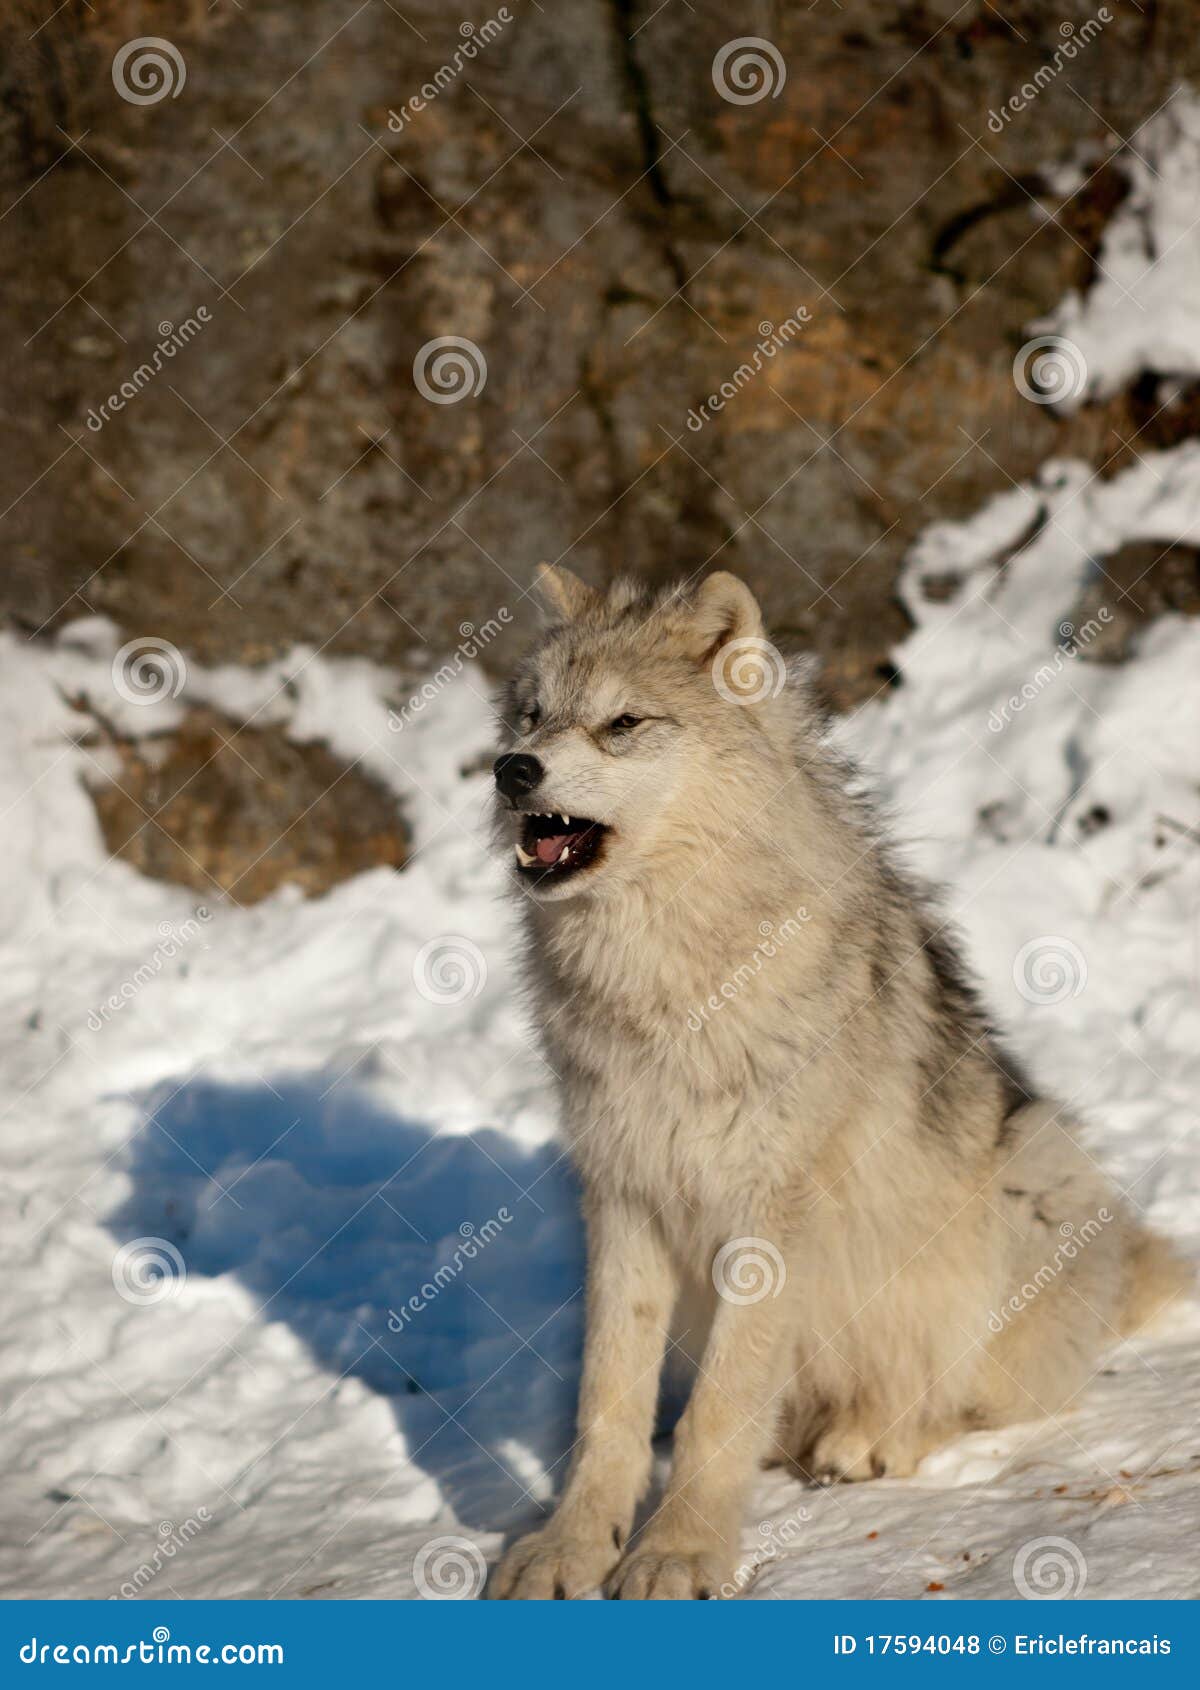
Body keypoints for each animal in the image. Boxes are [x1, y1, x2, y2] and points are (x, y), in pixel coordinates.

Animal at [488, 565, 1186, 1600]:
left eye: (622, 723)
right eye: (531, 716)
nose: (510, 772)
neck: (670, 986)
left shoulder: (771, 1215)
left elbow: (719, 1408)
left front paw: (679, 1553)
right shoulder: (623, 1200)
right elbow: (606, 1404)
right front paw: (571, 1547)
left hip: (1031, 1165)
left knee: (965, 1396)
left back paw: (870, 1435)